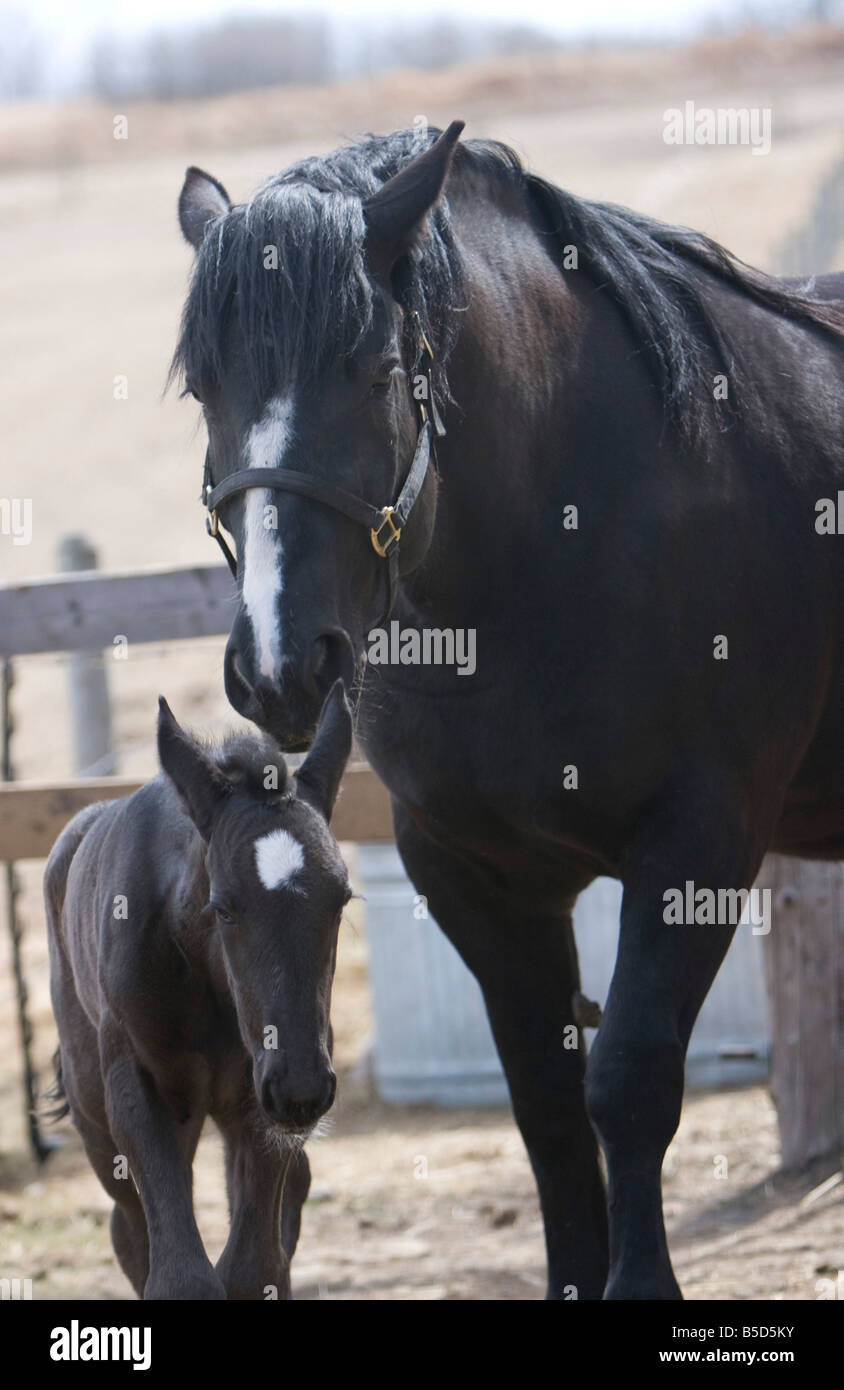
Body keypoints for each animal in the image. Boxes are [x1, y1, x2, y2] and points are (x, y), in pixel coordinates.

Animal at [44, 681, 352, 1299]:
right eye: (225, 908)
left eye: (341, 899)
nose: (303, 1090)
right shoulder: (136, 1084)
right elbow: (181, 1275)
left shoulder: (261, 1097)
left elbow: (254, 1268)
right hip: (99, 1121)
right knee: (128, 1231)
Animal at [171, 123, 844, 1299]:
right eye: (205, 389)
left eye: (376, 370)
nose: (281, 666)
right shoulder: (468, 869)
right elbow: (546, 1105)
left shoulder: (700, 840)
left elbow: (628, 1078)